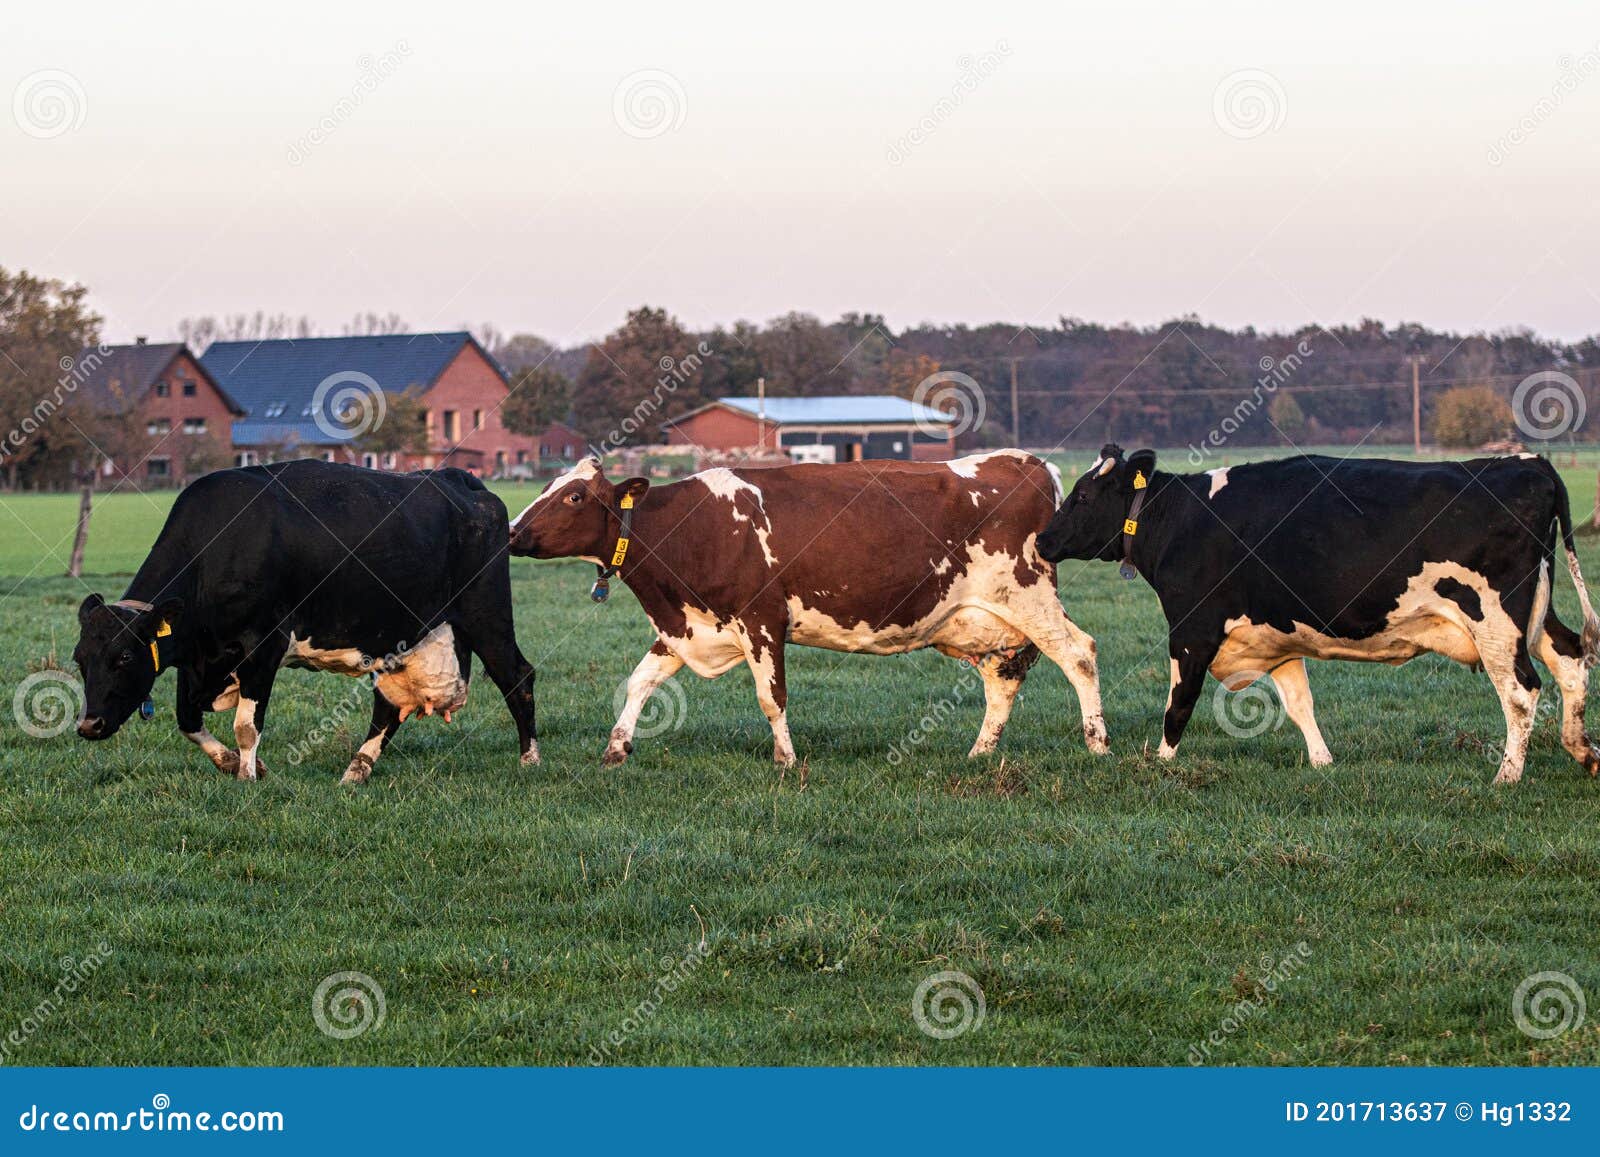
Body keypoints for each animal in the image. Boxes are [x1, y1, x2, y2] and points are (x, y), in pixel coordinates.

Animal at [71, 460, 538, 783]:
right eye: (80, 660)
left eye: (125, 657)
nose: (88, 725)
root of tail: (458, 479)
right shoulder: (198, 653)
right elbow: (187, 719)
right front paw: (231, 763)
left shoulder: (264, 643)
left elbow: (246, 725)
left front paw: (247, 776)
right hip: (403, 637)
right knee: (388, 706)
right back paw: (355, 771)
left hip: (485, 612)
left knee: (518, 676)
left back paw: (529, 761)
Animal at [508, 451, 1109, 766]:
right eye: (549, 485)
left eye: (575, 497)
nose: (511, 532)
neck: (689, 527)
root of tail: (1023, 461)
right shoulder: (688, 626)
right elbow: (640, 681)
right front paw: (617, 748)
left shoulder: (761, 621)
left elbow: (771, 698)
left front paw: (786, 760)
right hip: (989, 621)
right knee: (1003, 681)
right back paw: (980, 753)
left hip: (1029, 596)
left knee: (1079, 654)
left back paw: (1097, 745)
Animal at [1037, 443, 1600, 784]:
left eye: (1081, 495)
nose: (1041, 539)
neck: (1178, 518)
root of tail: (1527, 461)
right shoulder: (1279, 636)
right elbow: (1299, 703)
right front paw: (1322, 762)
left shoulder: (1191, 630)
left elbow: (1179, 704)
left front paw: (1161, 763)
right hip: (1534, 612)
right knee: (1570, 659)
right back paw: (1582, 750)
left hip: (1496, 619)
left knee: (1521, 690)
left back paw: (1507, 775)